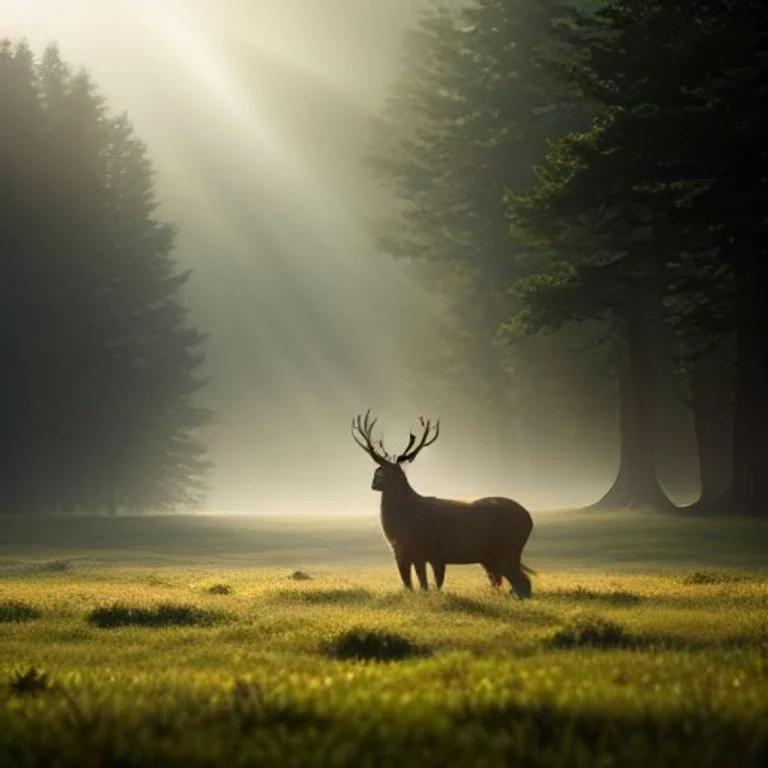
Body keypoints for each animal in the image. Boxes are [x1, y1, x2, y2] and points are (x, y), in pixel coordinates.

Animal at [351, 410, 535, 598]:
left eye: (387, 473)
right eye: (377, 472)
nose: (374, 484)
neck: (397, 526)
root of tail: (529, 519)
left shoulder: (416, 549)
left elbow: (420, 583)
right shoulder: (414, 553)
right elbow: (417, 583)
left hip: (508, 549)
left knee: (523, 582)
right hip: (492, 557)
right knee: (506, 580)